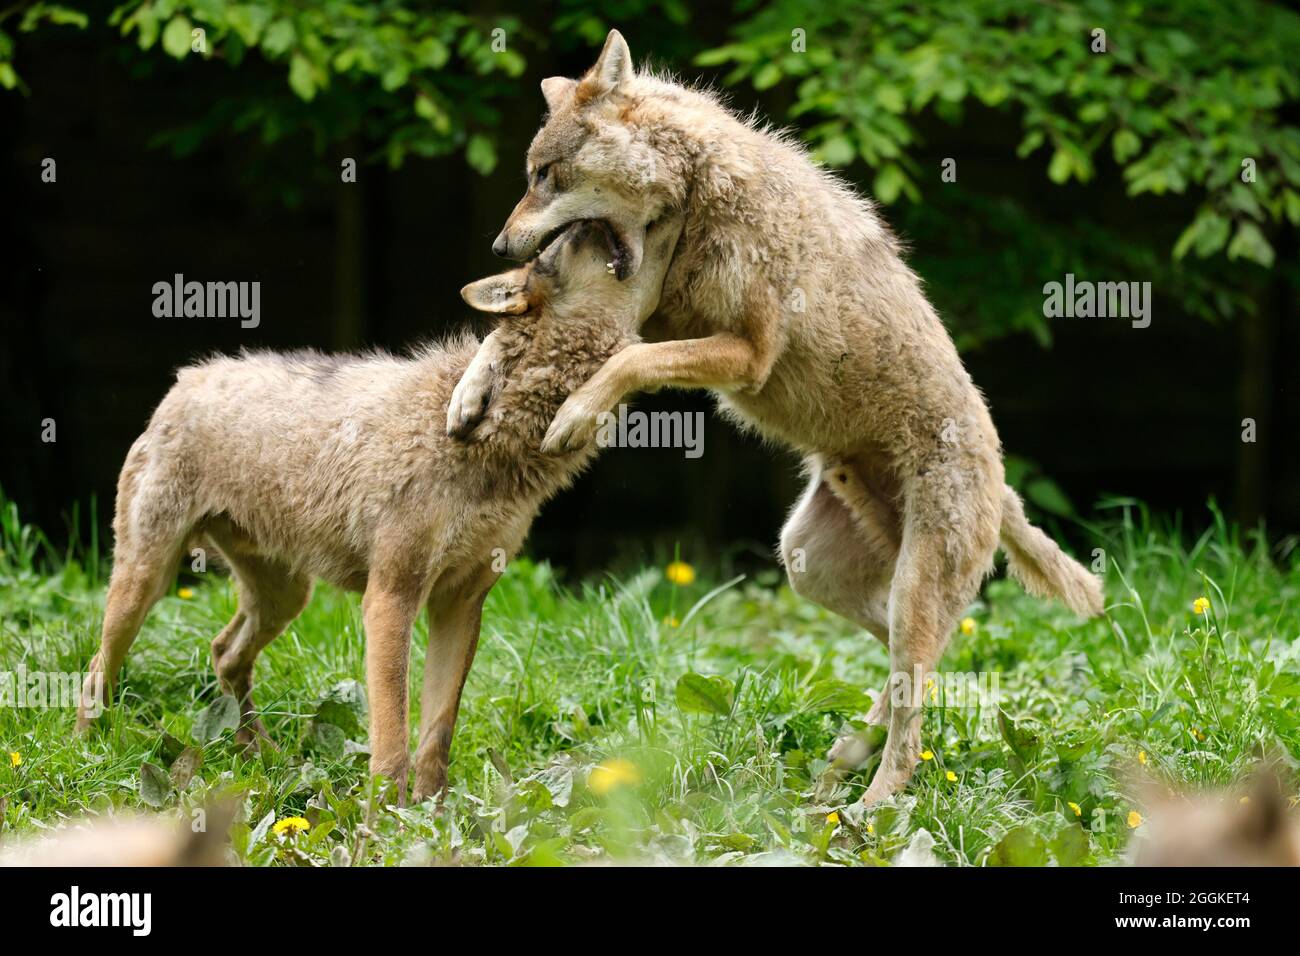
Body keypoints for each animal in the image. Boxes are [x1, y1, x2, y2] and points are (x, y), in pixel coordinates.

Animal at [73, 213, 681, 806]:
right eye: (567, 245)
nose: (590, 221)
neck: (493, 434)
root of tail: (188, 378)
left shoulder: (461, 603)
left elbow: (436, 733)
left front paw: (434, 816)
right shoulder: (391, 598)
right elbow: (392, 737)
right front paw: (386, 819)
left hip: (287, 597)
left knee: (224, 653)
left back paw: (262, 756)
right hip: (145, 583)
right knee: (97, 669)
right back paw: (92, 756)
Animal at [452, 29, 1102, 806]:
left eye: (545, 174)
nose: (497, 247)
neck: (702, 201)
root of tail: (1001, 480)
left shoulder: (743, 352)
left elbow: (626, 364)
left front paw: (573, 415)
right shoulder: (653, 317)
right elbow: (511, 339)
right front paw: (468, 393)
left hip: (910, 586)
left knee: (914, 708)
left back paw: (870, 808)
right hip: (809, 565)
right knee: (915, 670)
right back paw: (842, 764)